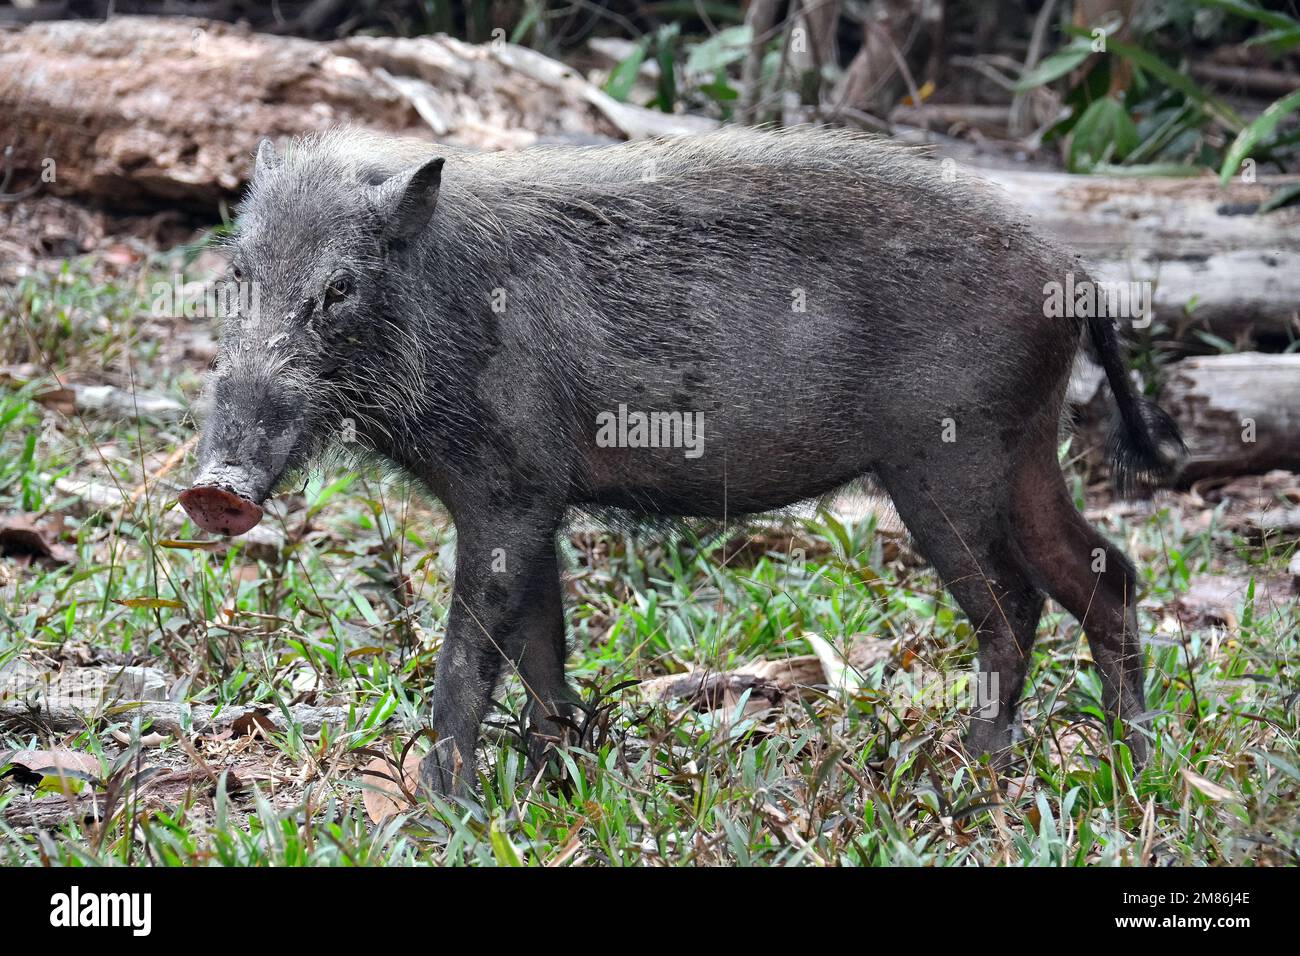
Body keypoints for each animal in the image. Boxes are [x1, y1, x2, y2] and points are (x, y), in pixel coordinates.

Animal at [180, 127, 1185, 794]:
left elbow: (469, 657)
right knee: (1107, 570)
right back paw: (1134, 760)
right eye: (237, 273)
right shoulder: (536, 498)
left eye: (338, 288)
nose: (212, 491)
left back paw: (973, 772)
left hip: (950, 462)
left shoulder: (507, 490)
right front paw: (557, 773)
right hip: (1024, 453)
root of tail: (1075, 276)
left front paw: (444, 804)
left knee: (1015, 601)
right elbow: (543, 646)